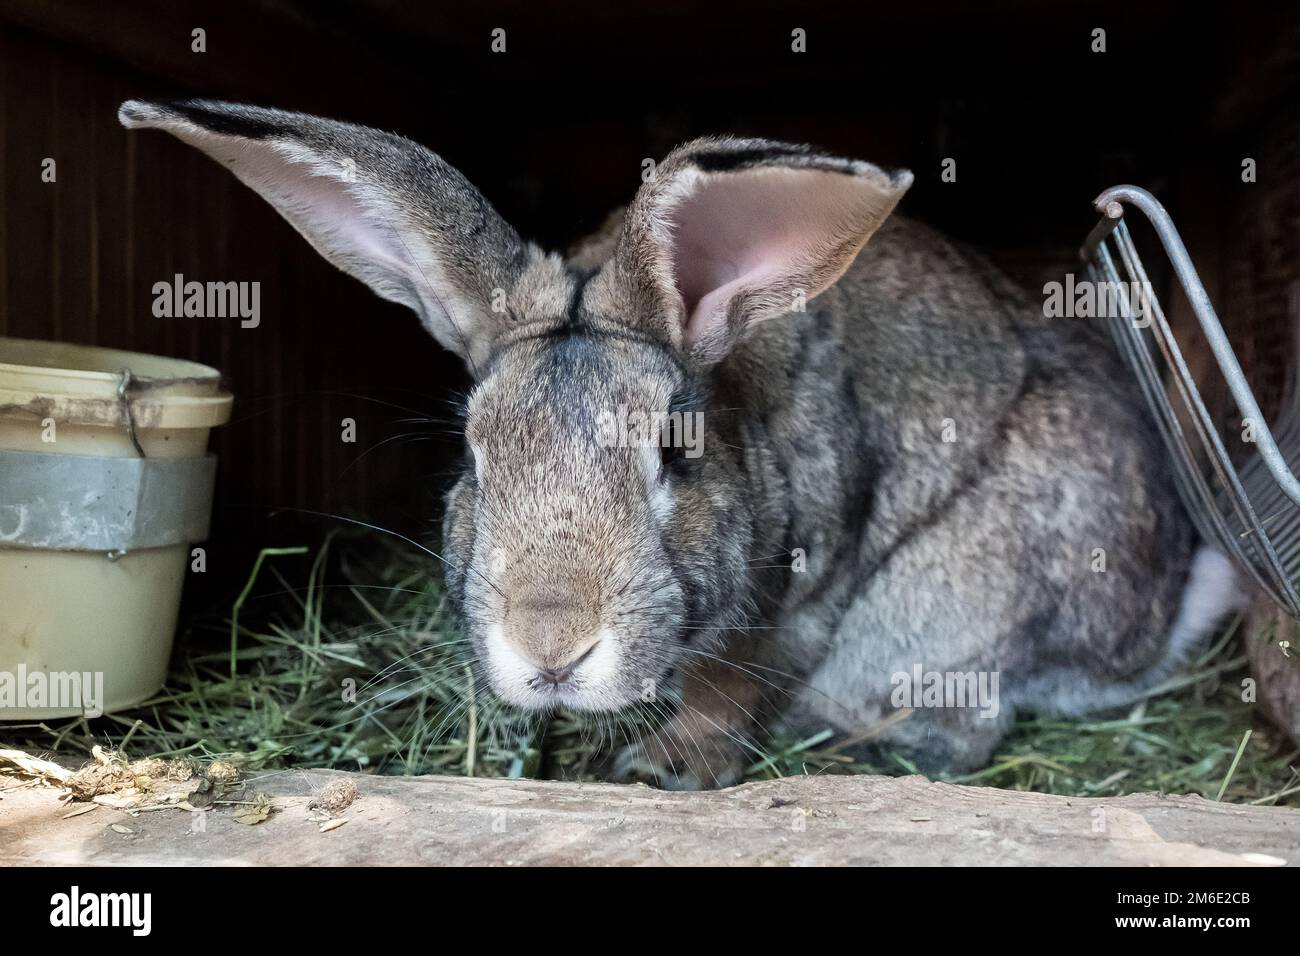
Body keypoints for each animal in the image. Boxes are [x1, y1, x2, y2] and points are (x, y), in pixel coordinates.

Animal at [119, 99, 1246, 789]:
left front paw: (665, 763)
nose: (550, 647)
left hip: (957, 597)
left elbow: (737, 675)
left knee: (953, 726)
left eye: (674, 451)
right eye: (475, 453)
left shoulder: (811, 581)